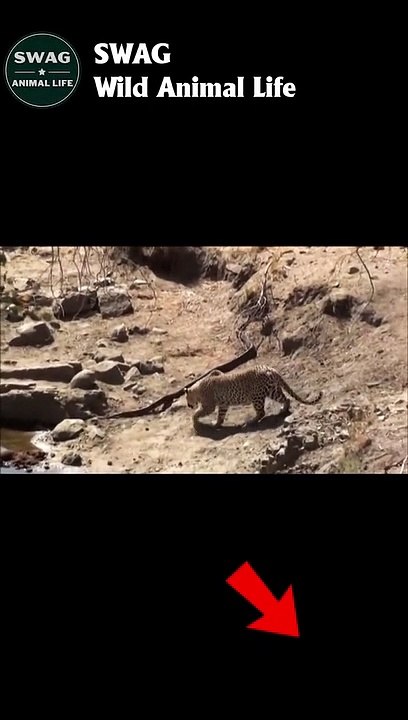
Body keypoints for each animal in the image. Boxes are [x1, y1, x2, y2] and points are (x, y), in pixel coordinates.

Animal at [185, 366, 322, 429]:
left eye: (187, 400)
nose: (188, 406)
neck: (198, 389)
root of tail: (270, 369)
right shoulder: (223, 405)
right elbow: (221, 415)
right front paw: (217, 424)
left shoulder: (209, 406)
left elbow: (199, 413)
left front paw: (195, 421)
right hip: (273, 390)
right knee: (286, 398)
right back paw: (283, 409)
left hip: (257, 397)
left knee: (261, 412)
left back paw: (250, 422)